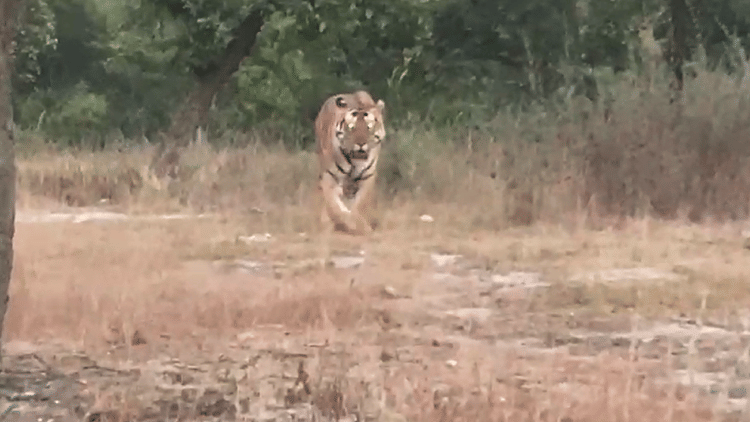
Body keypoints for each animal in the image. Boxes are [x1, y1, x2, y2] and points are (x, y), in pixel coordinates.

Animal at [314, 90, 386, 235]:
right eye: (351, 127)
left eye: (369, 127)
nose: (361, 144)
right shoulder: (330, 177)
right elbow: (335, 207)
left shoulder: (367, 177)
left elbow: (360, 205)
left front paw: (361, 226)